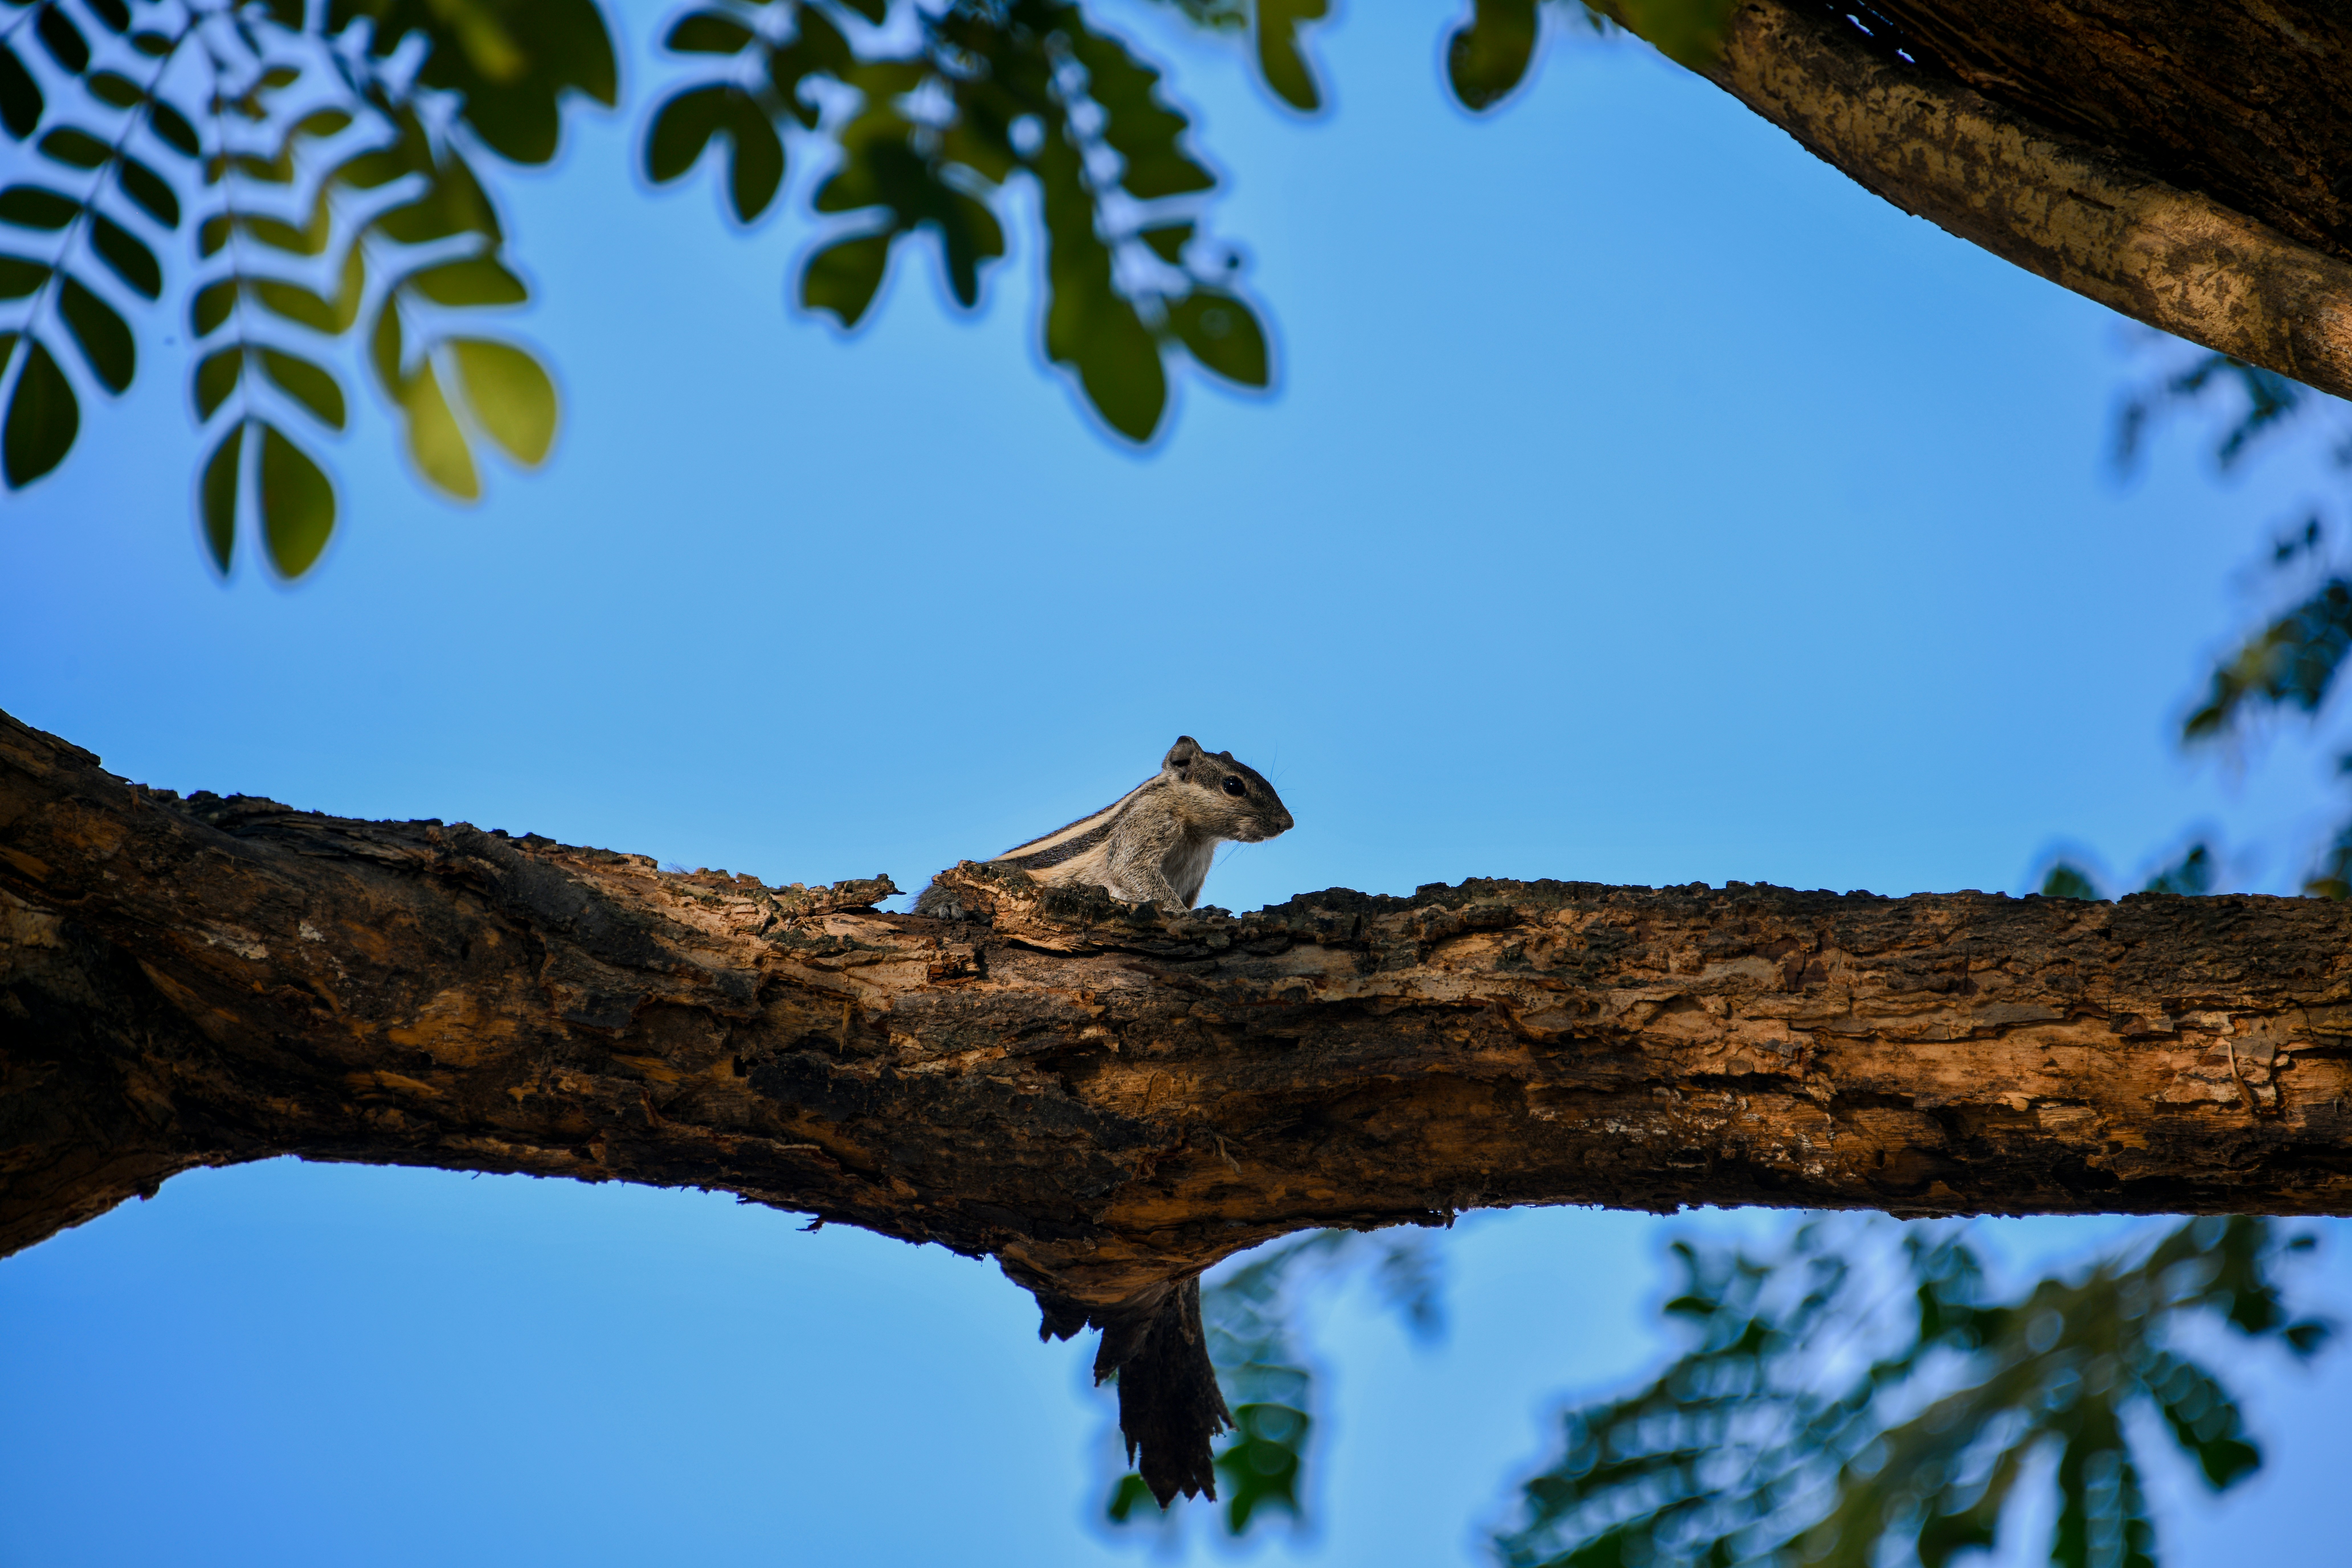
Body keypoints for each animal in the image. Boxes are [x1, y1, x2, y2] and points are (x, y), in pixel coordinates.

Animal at [914, 736, 1294, 917]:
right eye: (1233, 785)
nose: (1287, 823)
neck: (1198, 838)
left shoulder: (1194, 875)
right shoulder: (1144, 826)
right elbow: (1132, 870)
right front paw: (1191, 915)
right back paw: (946, 906)